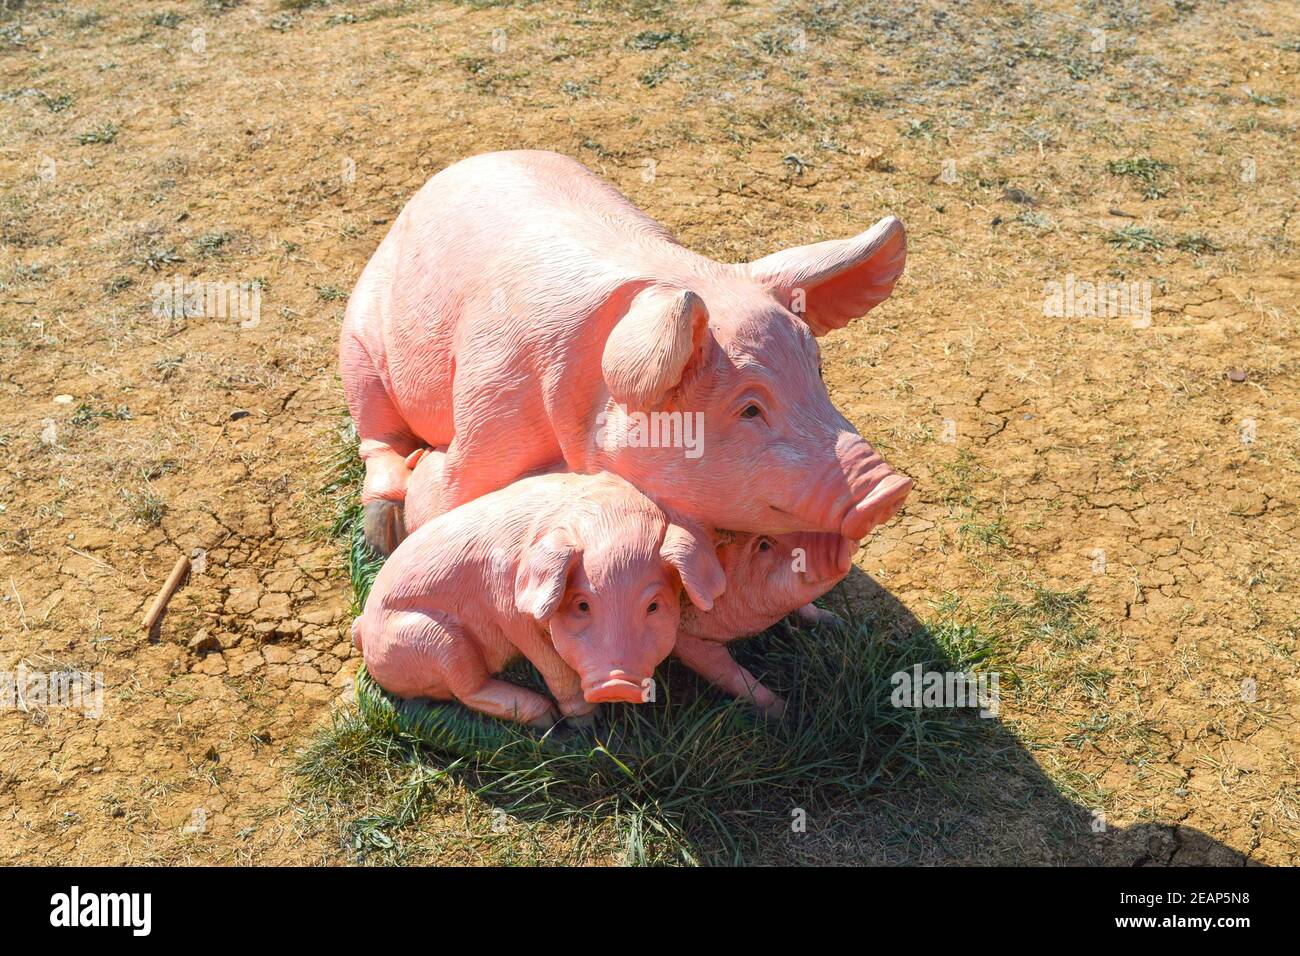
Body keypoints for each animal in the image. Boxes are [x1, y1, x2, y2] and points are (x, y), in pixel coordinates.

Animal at [341, 150, 913, 556]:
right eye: (749, 408)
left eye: (817, 371)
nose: (888, 489)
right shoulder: (489, 403)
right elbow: (447, 496)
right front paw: (426, 474)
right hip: (358, 340)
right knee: (375, 434)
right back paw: (385, 522)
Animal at [350, 471, 724, 728]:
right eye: (582, 605)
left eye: (653, 606)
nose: (617, 684)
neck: (607, 522)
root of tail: (364, 631)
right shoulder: (507, 607)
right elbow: (553, 665)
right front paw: (585, 725)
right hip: (432, 640)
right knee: (467, 690)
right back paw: (542, 717)